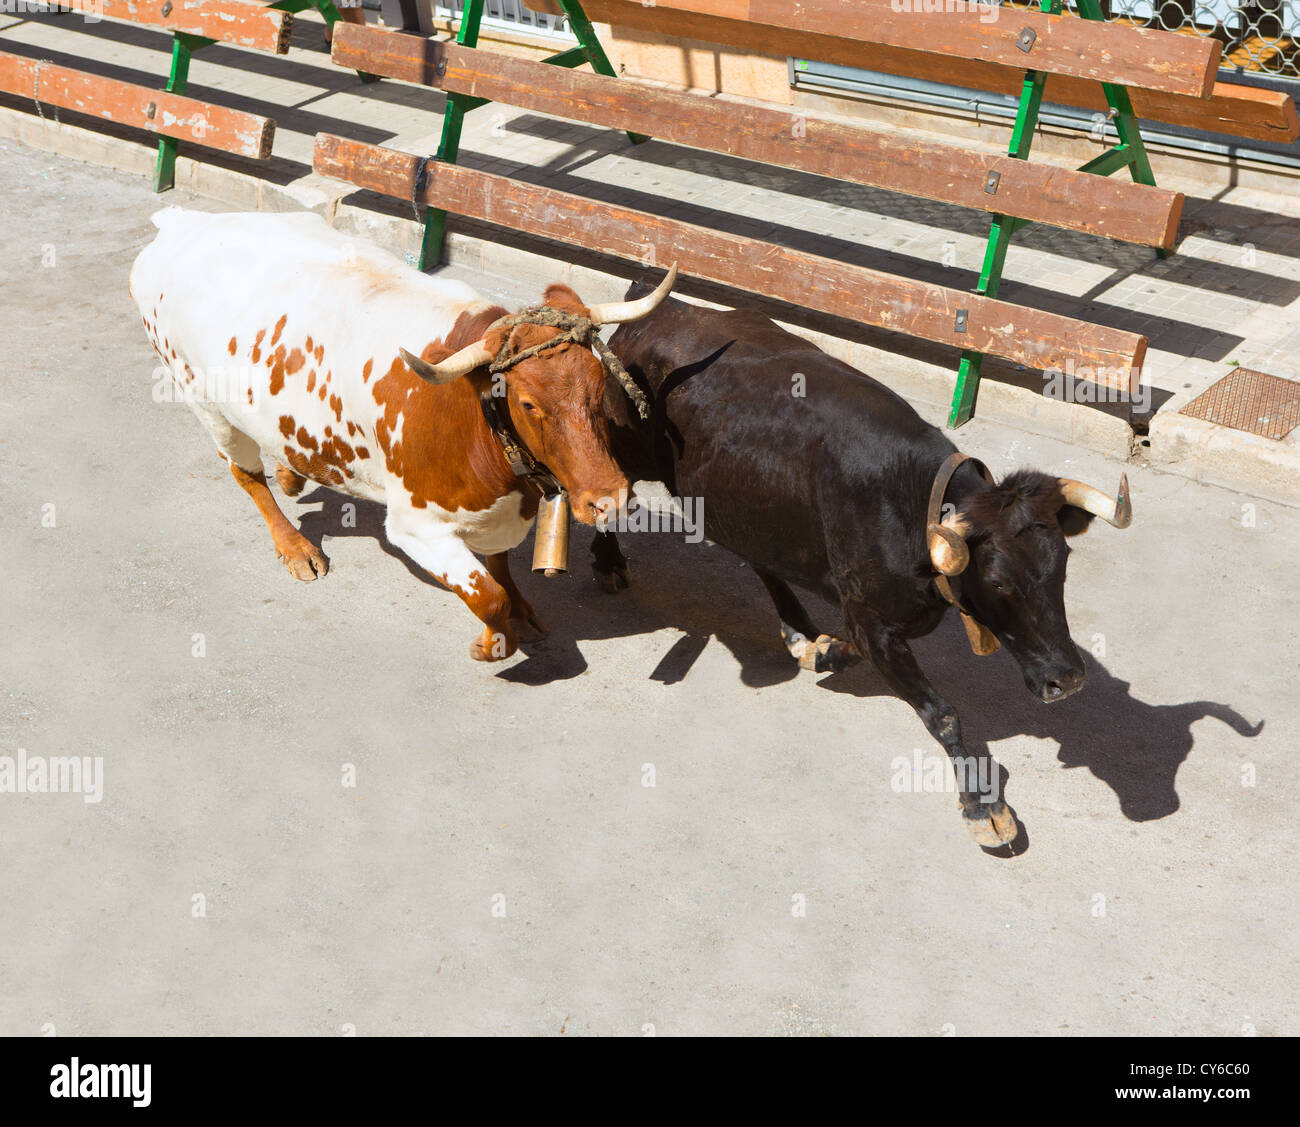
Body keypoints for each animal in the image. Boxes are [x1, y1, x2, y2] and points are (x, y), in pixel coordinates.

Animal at [129, 209, 675, 661]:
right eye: (528, 403)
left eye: (601, 383)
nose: (610, 499)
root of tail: (181, 221)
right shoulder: (416, 526)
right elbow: (488, 596)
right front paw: (492, 642)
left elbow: (500, 568)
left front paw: (522, 609)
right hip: (205, 403)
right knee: (246, 476)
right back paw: (295, 547)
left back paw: (292, 473)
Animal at [593, 284, 1133, 848]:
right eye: (998, 580)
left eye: (1063, 565)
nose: (1066, 679)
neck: (910, 508)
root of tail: (659, 312)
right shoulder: (873, 622)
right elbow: (943, 714)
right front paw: (981, 806)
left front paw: (824, 647)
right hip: (626, 446)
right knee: (593, 487)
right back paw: (607, 562)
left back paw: (801, 632)